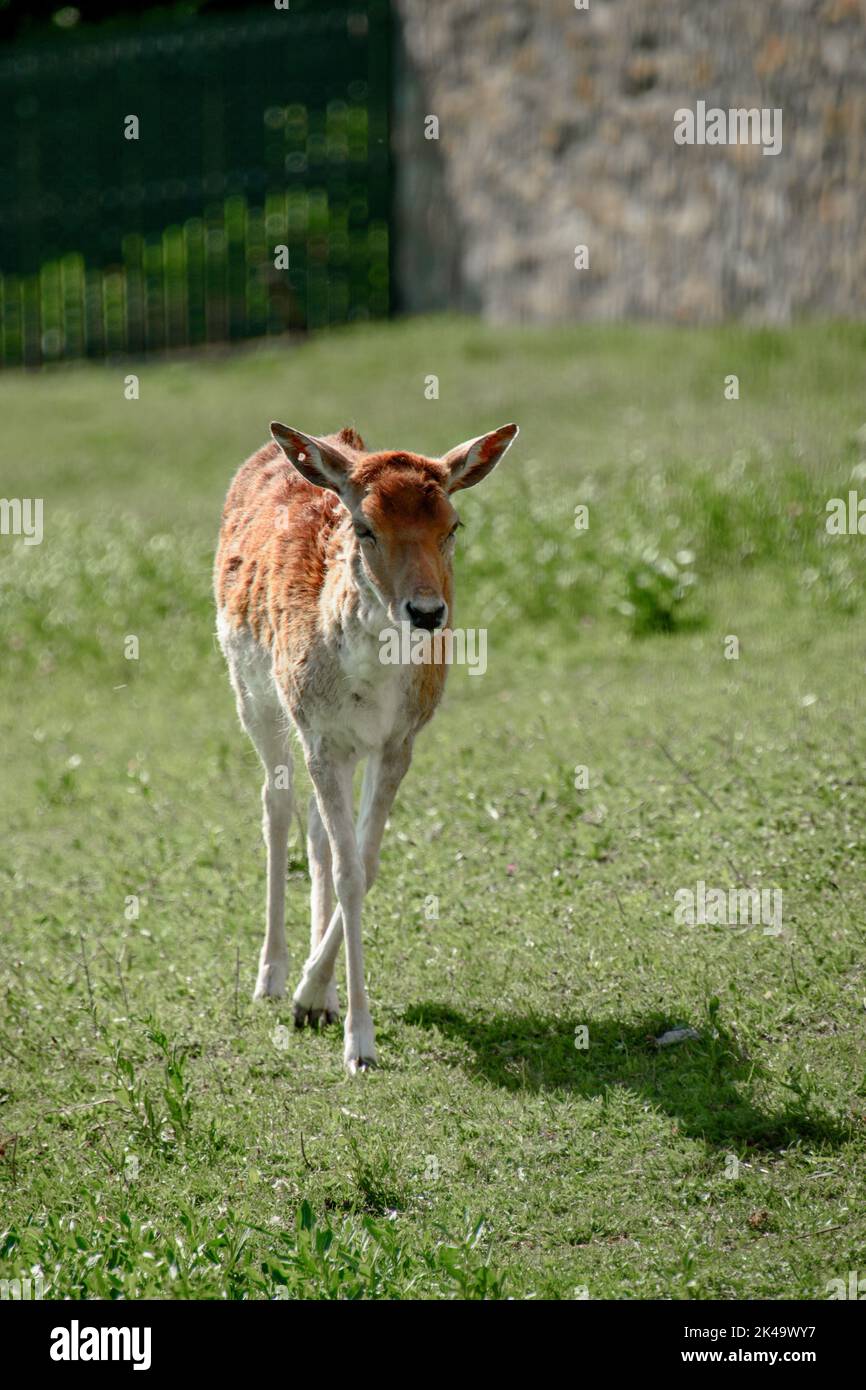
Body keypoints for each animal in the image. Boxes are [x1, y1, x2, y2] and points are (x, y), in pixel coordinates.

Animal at [214, 419, 519, 1073]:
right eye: (364, 527)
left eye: (452, 525)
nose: (427, 612)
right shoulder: (319, 733)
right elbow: (349, 869)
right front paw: (357, 1042)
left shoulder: (398, 740)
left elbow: (365, 861)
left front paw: (318, 997)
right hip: (254, 694)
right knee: (275, 807)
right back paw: (271, 976)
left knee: (314, 831)